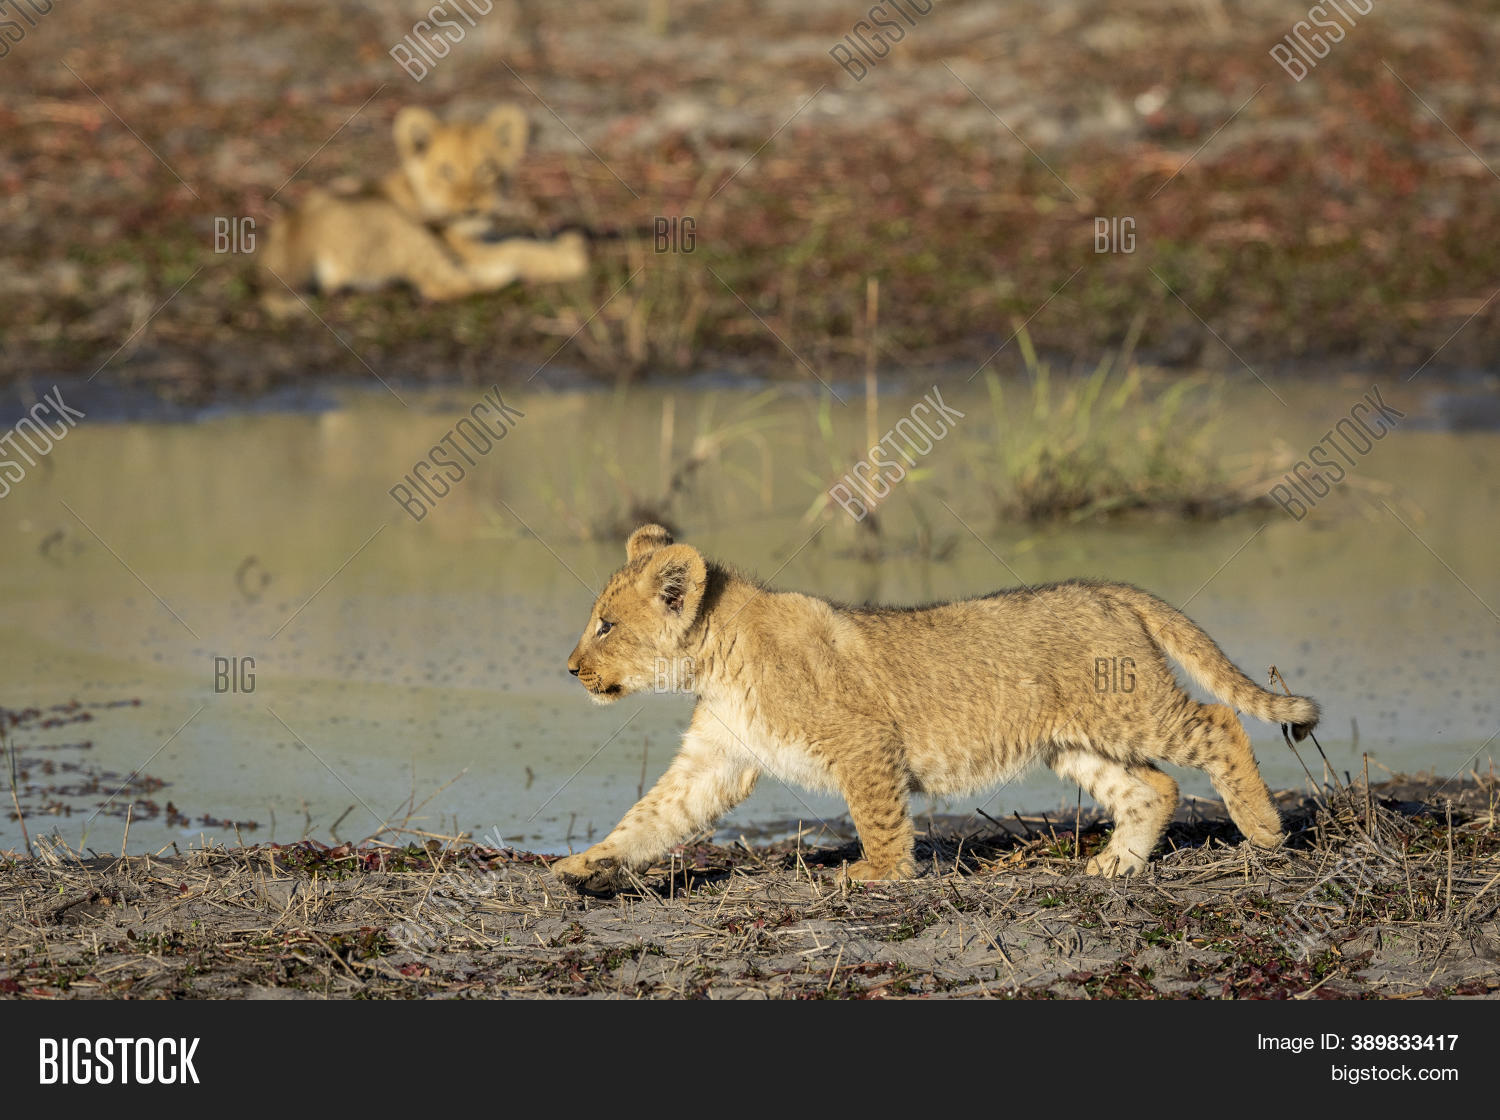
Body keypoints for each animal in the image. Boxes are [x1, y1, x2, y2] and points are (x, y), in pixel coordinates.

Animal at [258, 104, 587, 305]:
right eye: (446, 171)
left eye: (486, 169)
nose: (472, 205)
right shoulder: (469, 250)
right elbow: (521, 248)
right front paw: (571, 254)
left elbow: (512, 236)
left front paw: (566, 241)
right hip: (401, 229)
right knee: (439, 283)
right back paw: (506, 274)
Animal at [555, 523, 1319, 888]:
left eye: (605, 626)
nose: (570, 669)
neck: (715, 659)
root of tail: (1109, 589)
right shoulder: (717, 758)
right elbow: (652, 815)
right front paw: (584, 866)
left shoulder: (864, 740)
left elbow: (878, 815)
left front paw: (878, 874)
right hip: (1073, 740)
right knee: (1153, 787)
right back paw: (1116, 865)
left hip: (1128, 710)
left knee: (1219, 724)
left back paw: (1264, 830)